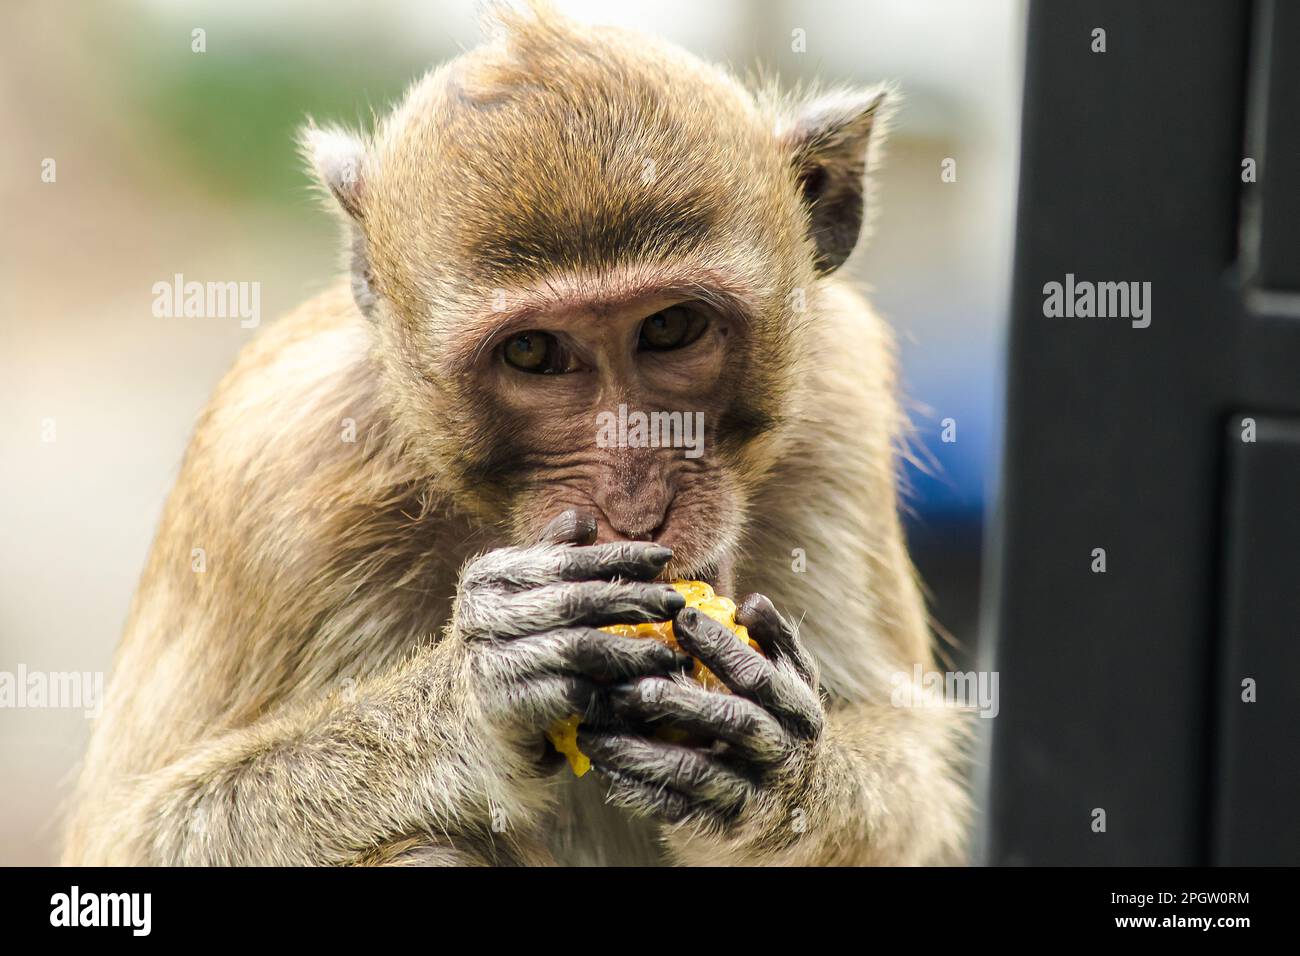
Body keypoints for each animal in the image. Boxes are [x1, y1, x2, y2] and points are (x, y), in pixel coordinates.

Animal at [62, 4, 970, 867]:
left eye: (669, 328)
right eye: (534, 351)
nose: (634, 507)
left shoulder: (838, 404)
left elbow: (912, 774)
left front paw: (782, 771)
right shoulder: (280, 468)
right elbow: (139, 831)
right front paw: (480, 687)